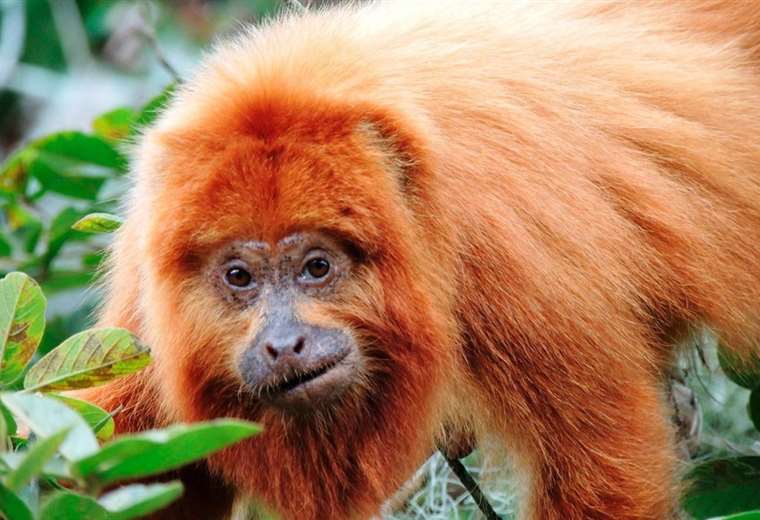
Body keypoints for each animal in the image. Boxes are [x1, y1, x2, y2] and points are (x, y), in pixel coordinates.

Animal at [75, 1, 760, 518]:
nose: (284, 344)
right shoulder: (145, 286)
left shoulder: (512, 260)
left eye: (318, 267)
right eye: (238, 277)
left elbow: (604, 455)